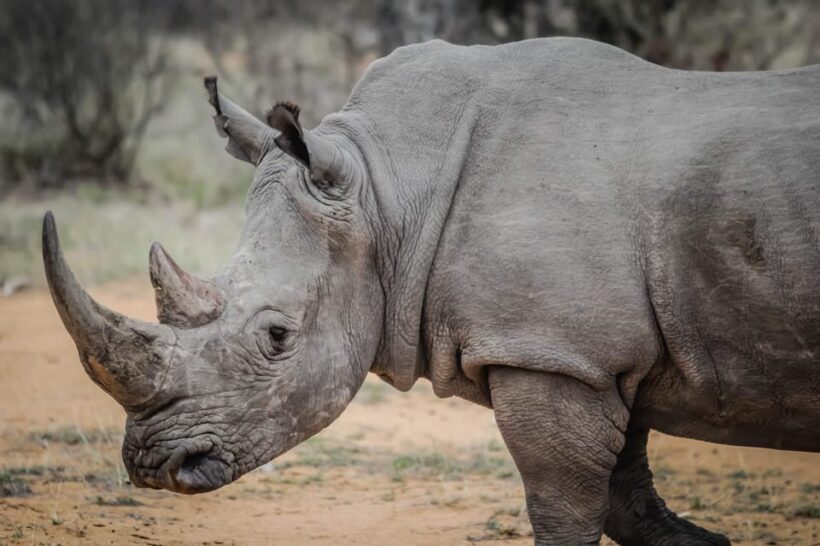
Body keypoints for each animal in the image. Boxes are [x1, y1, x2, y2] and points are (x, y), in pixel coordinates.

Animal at [42, 37, 820, 545]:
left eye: (276, 337)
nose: (155, 466)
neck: (386, 189)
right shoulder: (590, 352)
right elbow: (625, 490)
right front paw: (703, 544)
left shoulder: (549, 352)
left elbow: (566, 506)